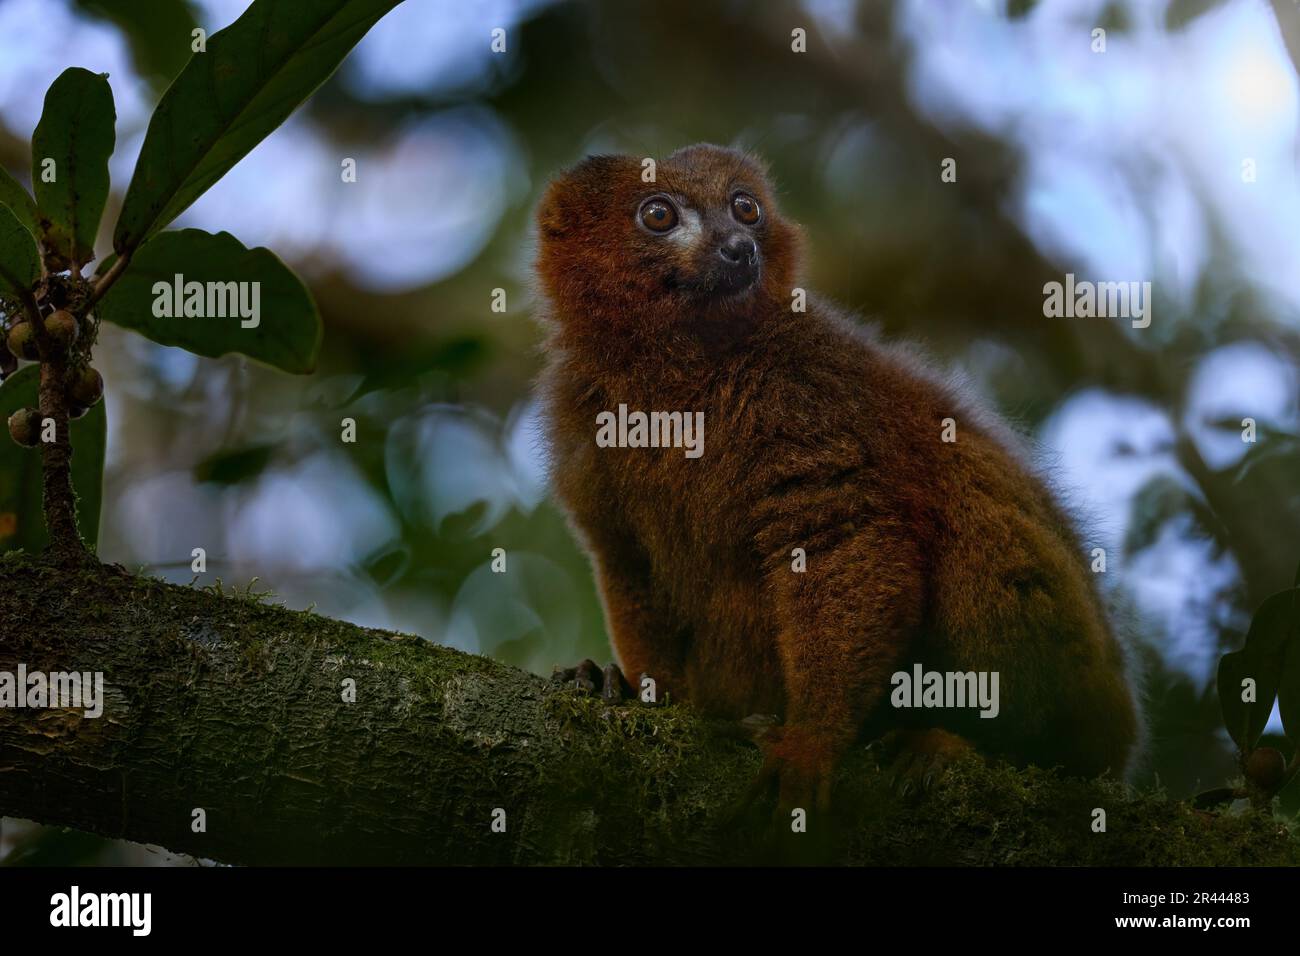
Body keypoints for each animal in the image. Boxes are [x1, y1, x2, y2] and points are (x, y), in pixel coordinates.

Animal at [534, 143, 1142, 813]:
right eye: (659, 215)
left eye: (744, 209)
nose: (738, 247)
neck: (673, 373)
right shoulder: (580, 418)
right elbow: (627, 559)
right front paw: (641, 690)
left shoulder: (806, 386)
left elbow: (840, 537)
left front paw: (812, 738)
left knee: (970, 500)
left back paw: (971, 742)